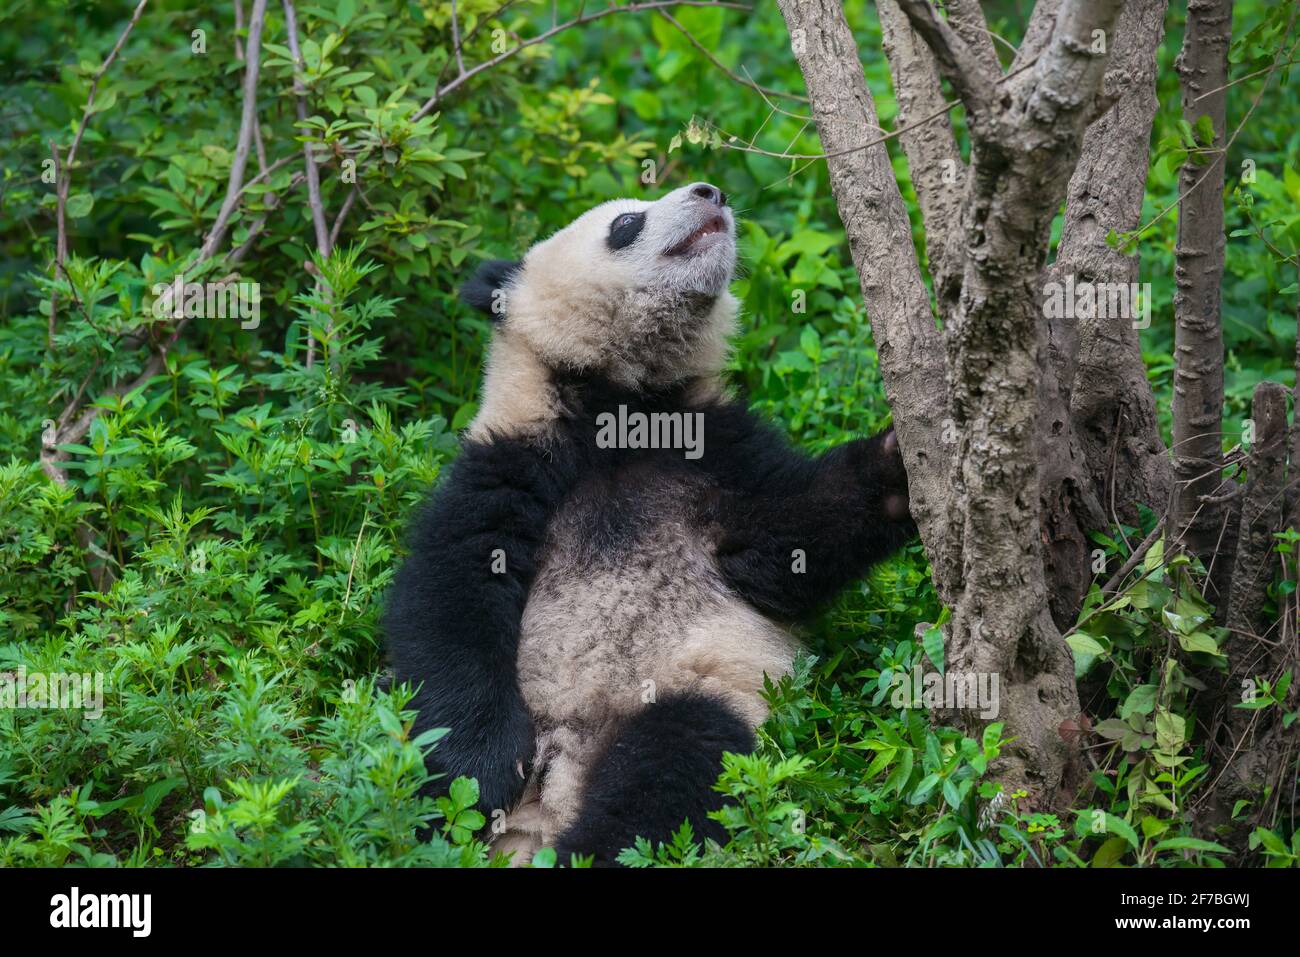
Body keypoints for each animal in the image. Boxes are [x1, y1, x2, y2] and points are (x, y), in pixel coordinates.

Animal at [384, 182, 915, 865]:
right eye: (626, 224)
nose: (710, 192)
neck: (624, 407)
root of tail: (552, 800)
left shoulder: (720, 455)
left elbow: (787, 545)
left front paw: (901, 460)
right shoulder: (508, 461)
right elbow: (449, 600)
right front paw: (479, 772)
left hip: (681, 691)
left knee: (674, 764)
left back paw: (590, 846)